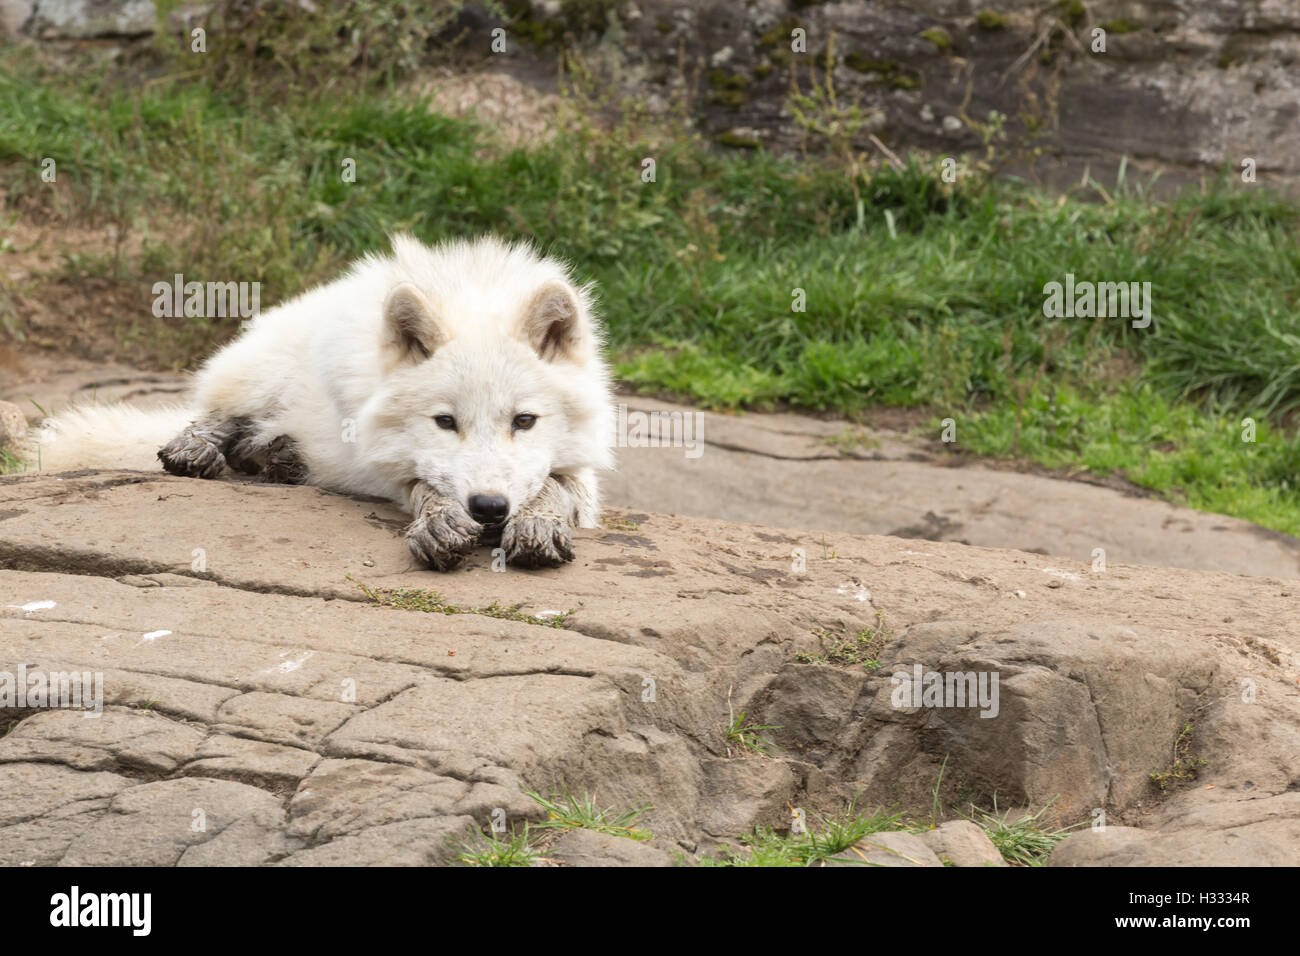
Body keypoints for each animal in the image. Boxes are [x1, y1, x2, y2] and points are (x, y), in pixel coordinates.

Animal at [31, 235, 615, 570]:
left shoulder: (581, 473)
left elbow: (553, 486)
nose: (489, 507)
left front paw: (536, 524)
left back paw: (277, 458)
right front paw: (441, 523)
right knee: (216, 413)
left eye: (525, 420)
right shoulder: (382, 462)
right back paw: (200, 450)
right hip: (262, 373)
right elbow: (425, 485)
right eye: (445, 422)